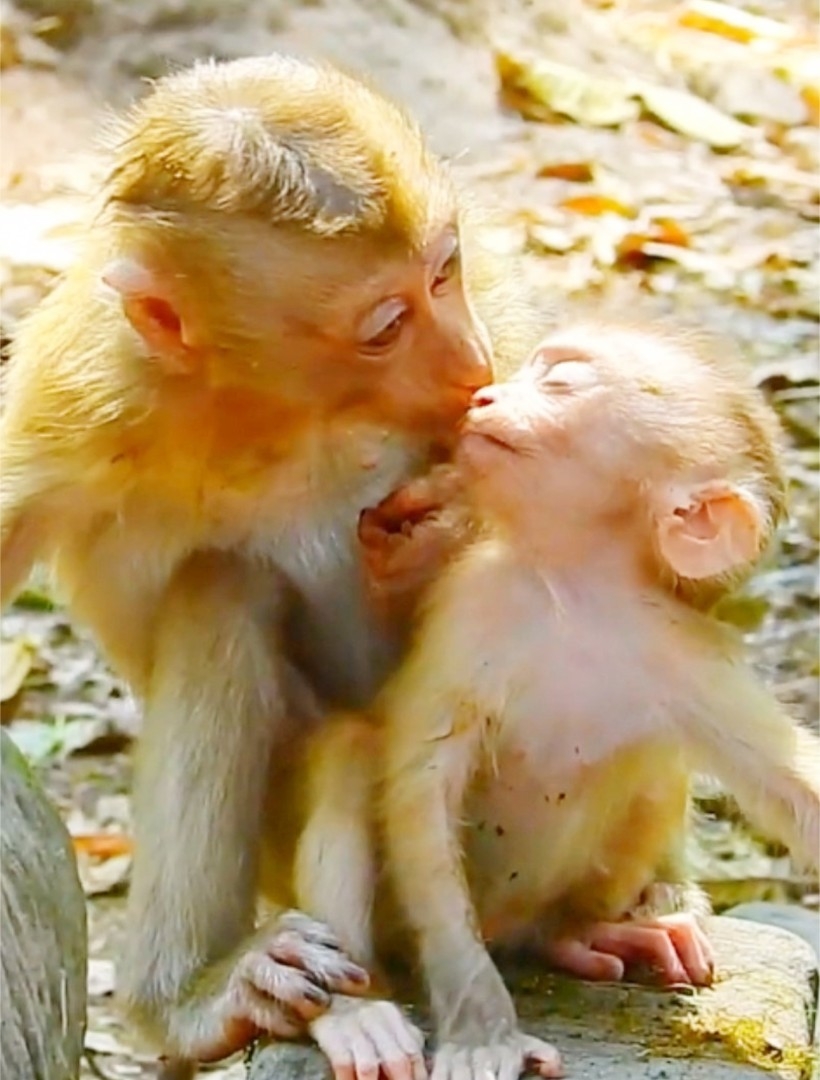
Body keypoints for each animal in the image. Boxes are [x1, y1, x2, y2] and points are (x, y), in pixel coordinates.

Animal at [0, 52, 553, 1074]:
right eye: (385, 326)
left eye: (444, 272)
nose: (469, 362)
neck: (283, 415)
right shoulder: (80, 390)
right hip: (278, 847)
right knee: (224, 588)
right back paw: (208, 996)